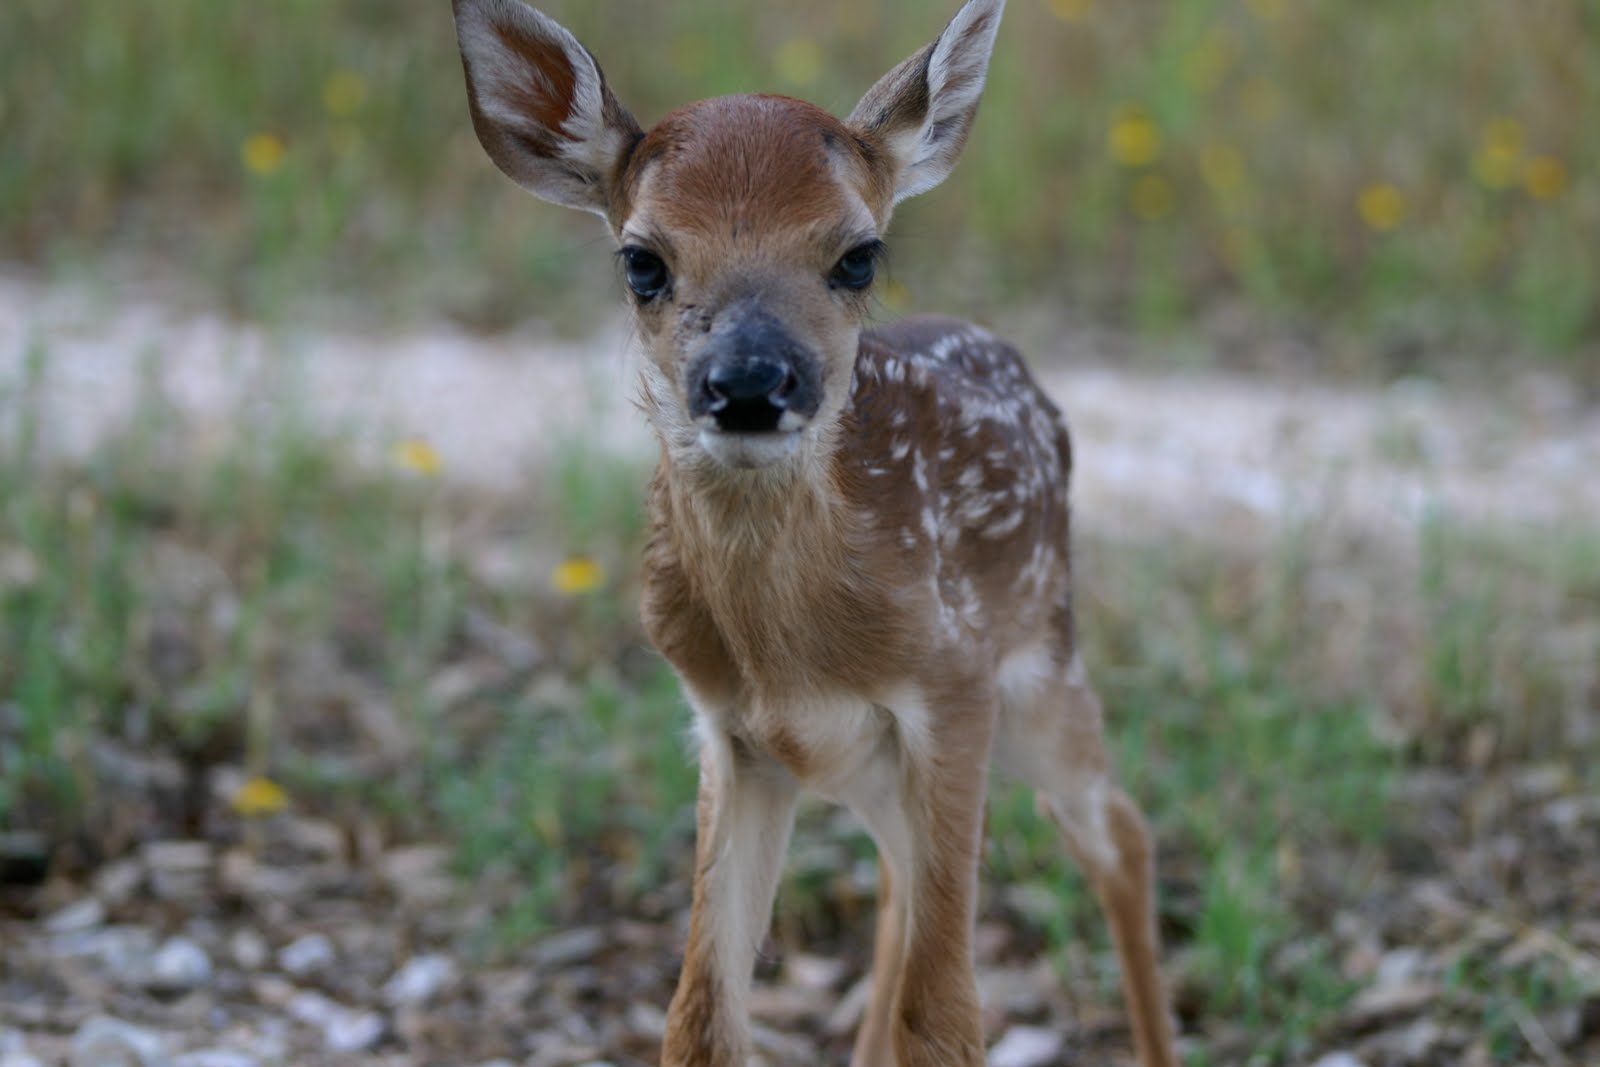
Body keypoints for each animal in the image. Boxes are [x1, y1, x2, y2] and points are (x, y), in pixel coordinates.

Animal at [451, 0, 1178, 1063]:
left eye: (858, 255)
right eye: (642, 261)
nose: (751, 383)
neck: (789, 652)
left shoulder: (953, 686)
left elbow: (944, 1011)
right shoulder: (731, 733)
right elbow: (699, 1015)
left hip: (1043, 659)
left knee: (1114, 829)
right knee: (901, 882)